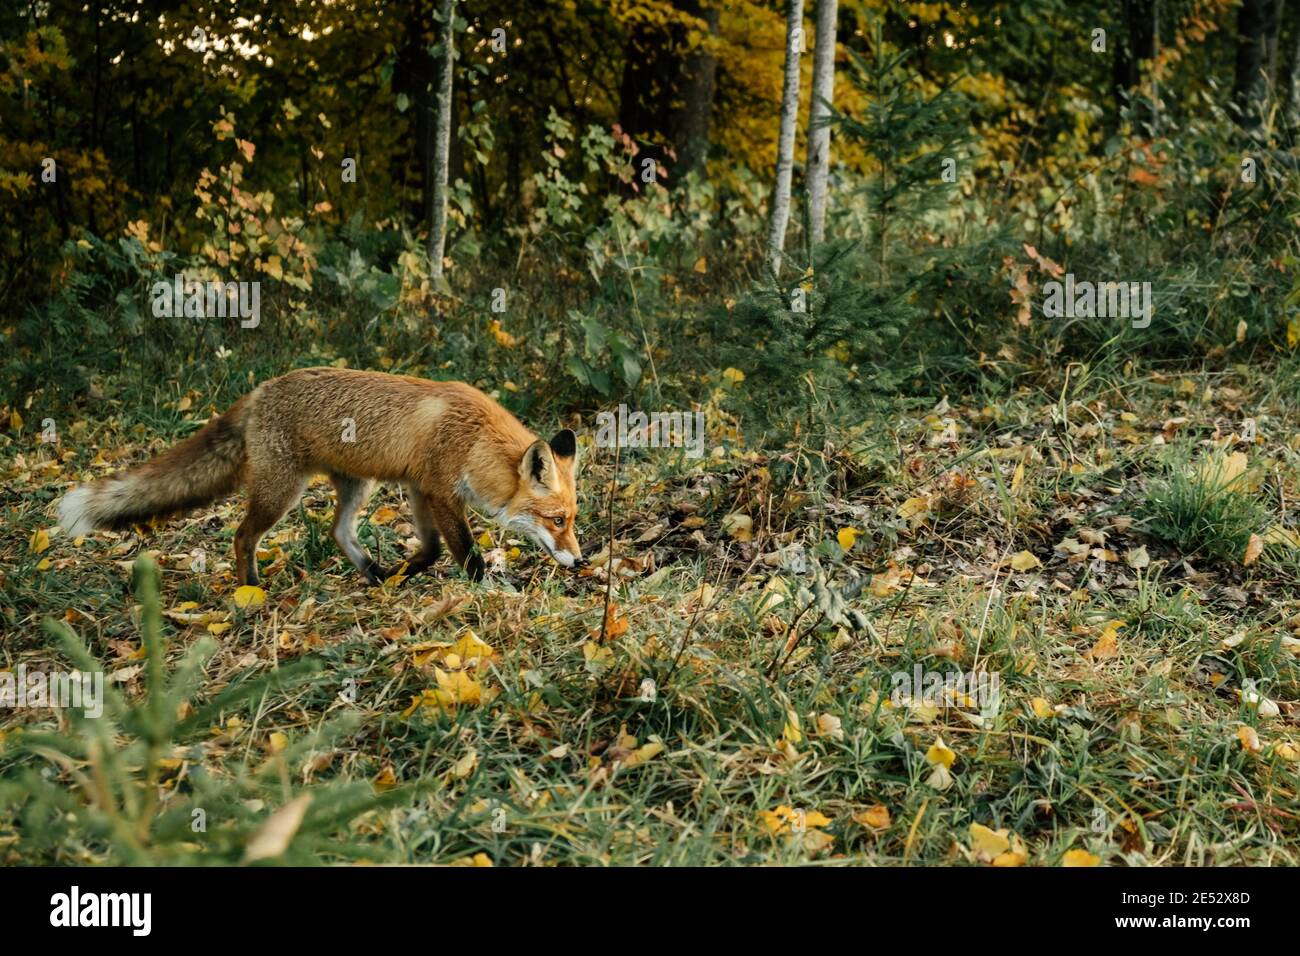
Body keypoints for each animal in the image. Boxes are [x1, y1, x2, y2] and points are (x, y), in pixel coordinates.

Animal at [57, 367, 583, 586]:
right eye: (557, 520)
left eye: (573, 519)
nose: (580, 562)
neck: (474, 439)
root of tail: (261, 390)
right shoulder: (439, 491)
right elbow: (466, 554)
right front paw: (494, 589)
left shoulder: (419, 487)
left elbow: (431, 550)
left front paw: (400, 574)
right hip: (281, 492)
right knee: (242, 535)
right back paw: (250, 589)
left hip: (357, 485)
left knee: (337, 531)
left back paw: (372, 572)